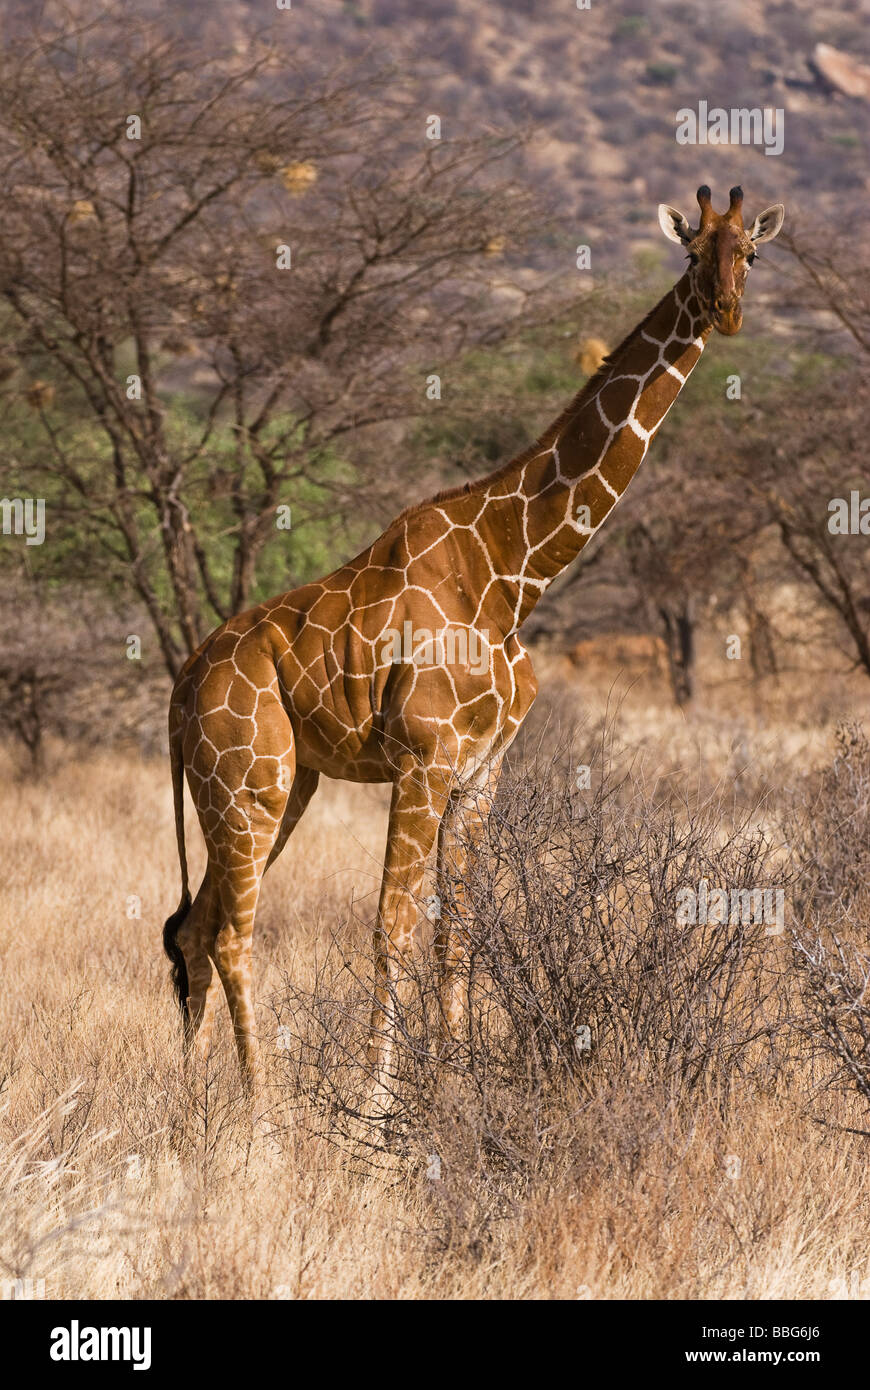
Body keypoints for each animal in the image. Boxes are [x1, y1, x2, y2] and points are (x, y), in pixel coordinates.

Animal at [163, 185, 784, 1099]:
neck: (511, 571)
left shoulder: (481, 771)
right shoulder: (424, 760)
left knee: (194, 929)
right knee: (231, 932)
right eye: (693, 253)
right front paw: (377, 1100)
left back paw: (197, 1101)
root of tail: (179, 687)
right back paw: (262, 1110)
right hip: (249, 783)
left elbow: (457, 929)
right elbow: (392, 926)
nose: (728, 310)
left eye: (752, 253)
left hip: (273, 785)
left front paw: (455, 1088)